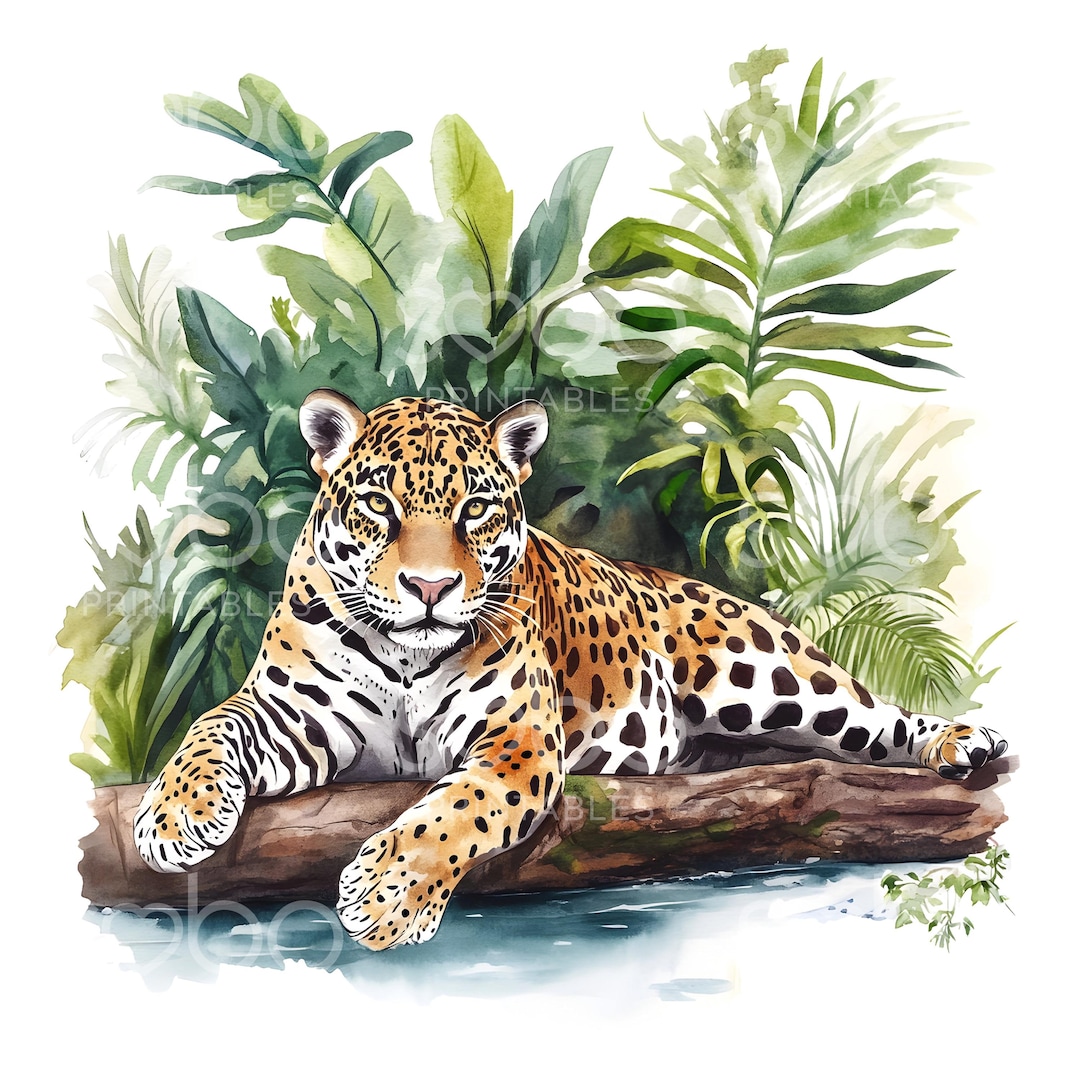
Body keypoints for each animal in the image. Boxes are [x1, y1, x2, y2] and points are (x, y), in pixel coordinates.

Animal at [134, 391, 1006, 949]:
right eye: (380, 507)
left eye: (475, 510)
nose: (429, 588)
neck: (407, 653)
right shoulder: (298, 719)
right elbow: (214, 725)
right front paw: (173, 818)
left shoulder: (515, 742)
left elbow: (451, 812)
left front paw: (387, 897)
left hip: (769, 677)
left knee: (873, 718)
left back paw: (963, 743)